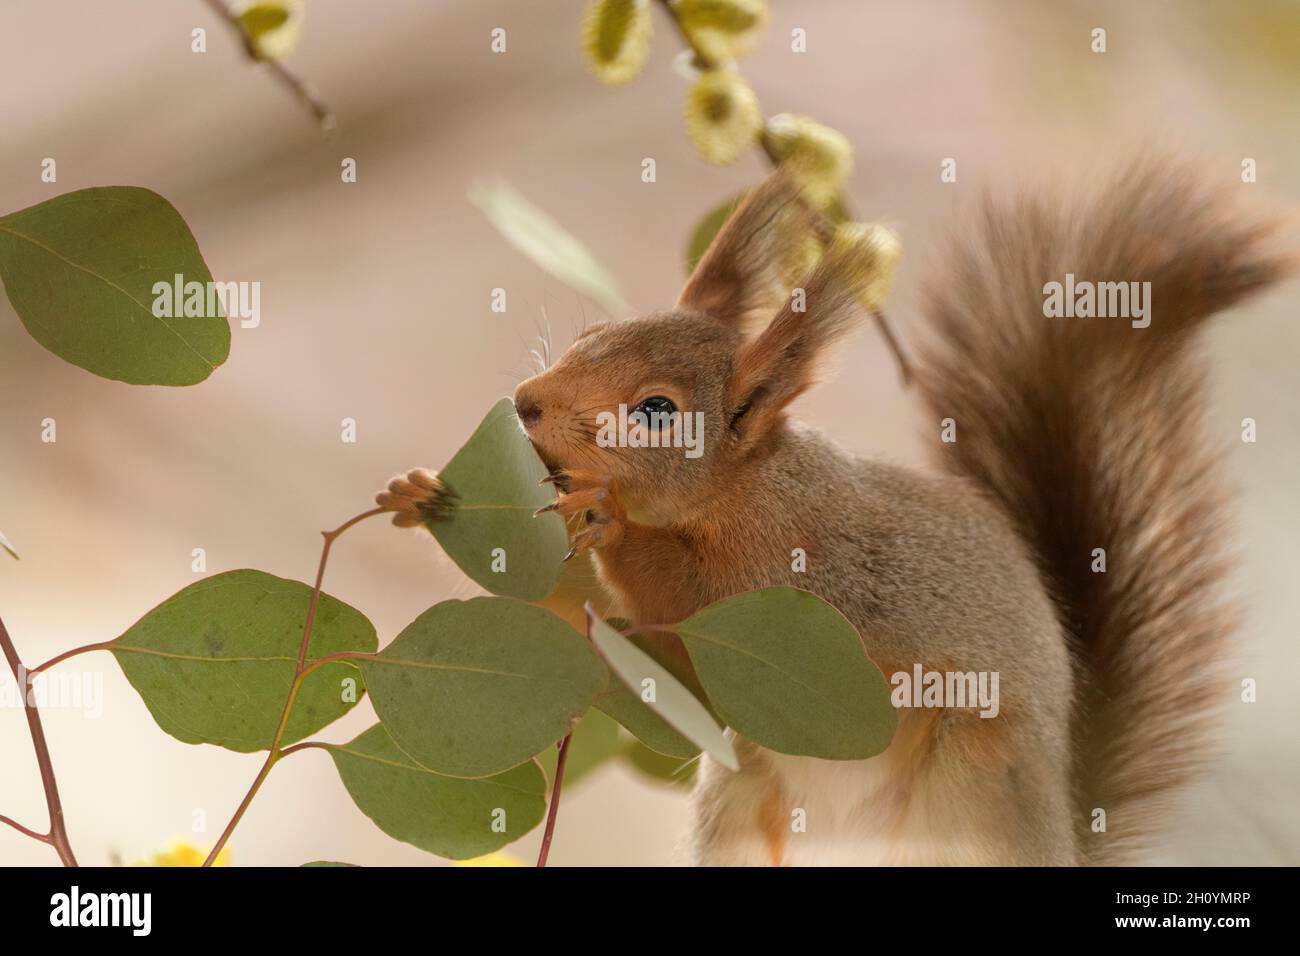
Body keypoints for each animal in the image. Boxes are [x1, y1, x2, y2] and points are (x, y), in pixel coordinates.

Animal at [380, 158, 1290, 865]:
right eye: (588, 334)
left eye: (656, 411)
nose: (525, 403)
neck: (744, 491)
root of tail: (1064, 831)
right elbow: (597, 643)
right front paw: (423, 494)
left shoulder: (811, 594)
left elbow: (692, 614)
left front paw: (608, 519)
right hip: (742, 802)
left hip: (970, 782)